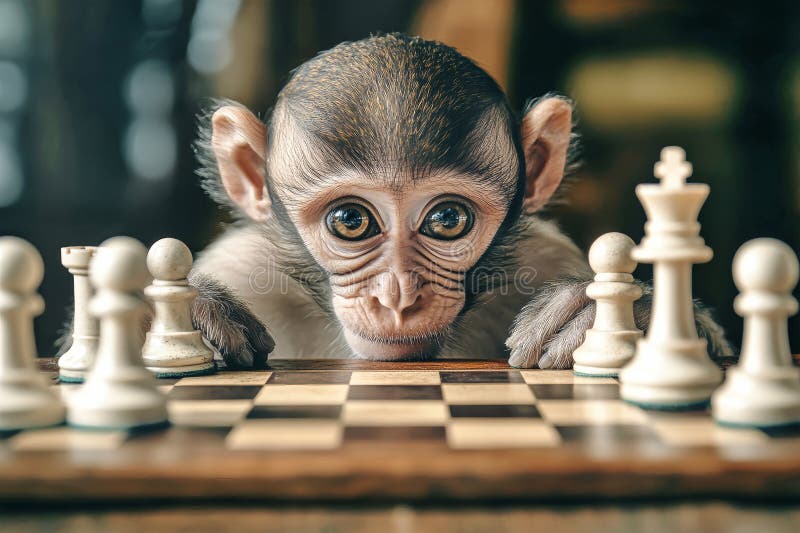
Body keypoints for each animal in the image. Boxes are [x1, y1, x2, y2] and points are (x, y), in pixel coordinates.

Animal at [58, 33, 732, 369]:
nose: (399, 296)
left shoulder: (548, 258)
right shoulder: (241, 267)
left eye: (447, 219)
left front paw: (598, 313)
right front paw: (175, 311)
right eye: (350, 221)